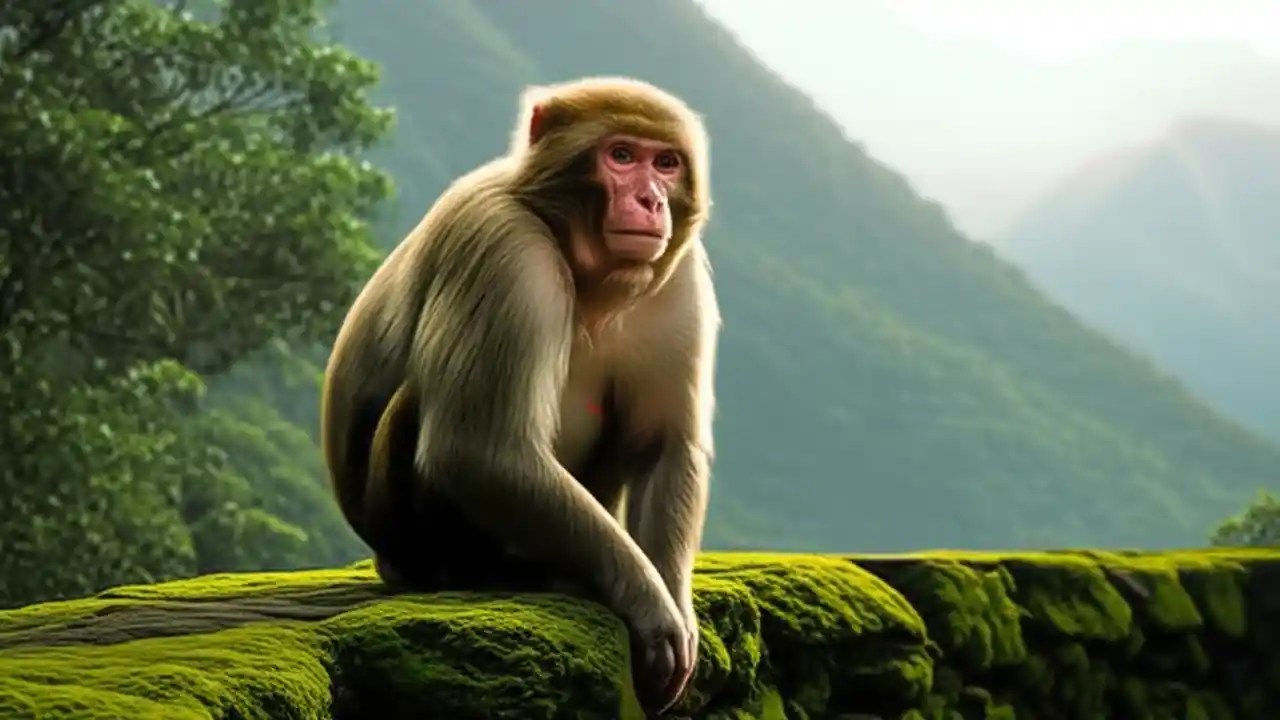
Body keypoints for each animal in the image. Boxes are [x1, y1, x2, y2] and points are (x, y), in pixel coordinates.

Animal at [320, 76, 720, 713]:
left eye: (666, 163)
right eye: (621, 155)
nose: (651, 201)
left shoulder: (676, 277)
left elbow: (663, 444)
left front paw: (673, 603)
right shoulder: (504, 243)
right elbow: (479, 450)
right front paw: (651, 606)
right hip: (404, 528)